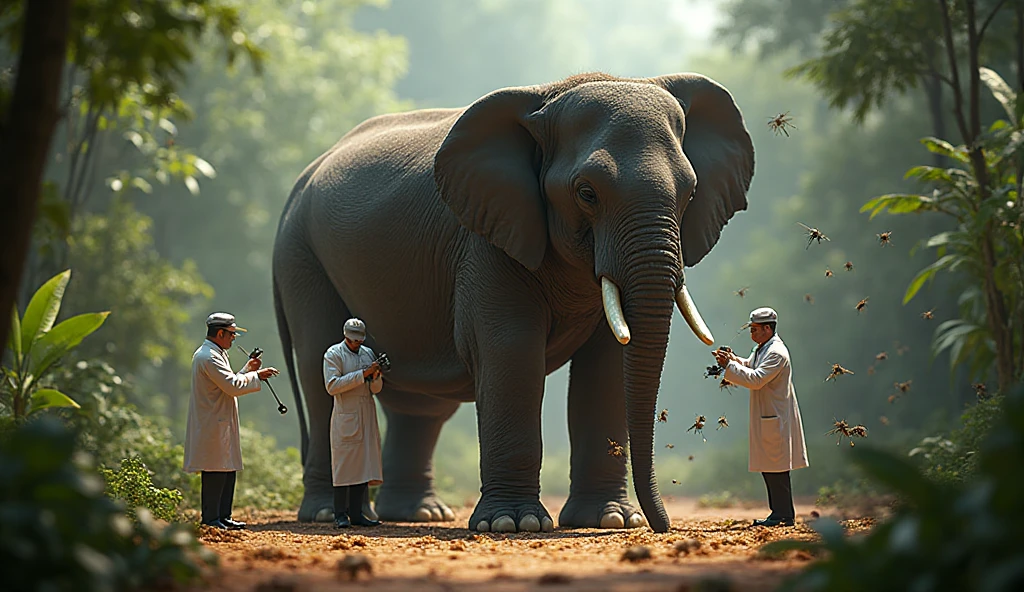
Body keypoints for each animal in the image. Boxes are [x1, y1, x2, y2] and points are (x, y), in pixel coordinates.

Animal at [273, 72, 754, 533]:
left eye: (690, 193)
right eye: (586, 193)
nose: (662, 527)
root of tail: (301, 180)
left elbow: (605, 365)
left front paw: (611, 521)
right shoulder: (487, 238)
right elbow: (510, 350)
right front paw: (513, 524)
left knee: (420, 406)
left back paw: (418, 514)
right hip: (302, 256)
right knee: (320, 371)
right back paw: (325, 515)